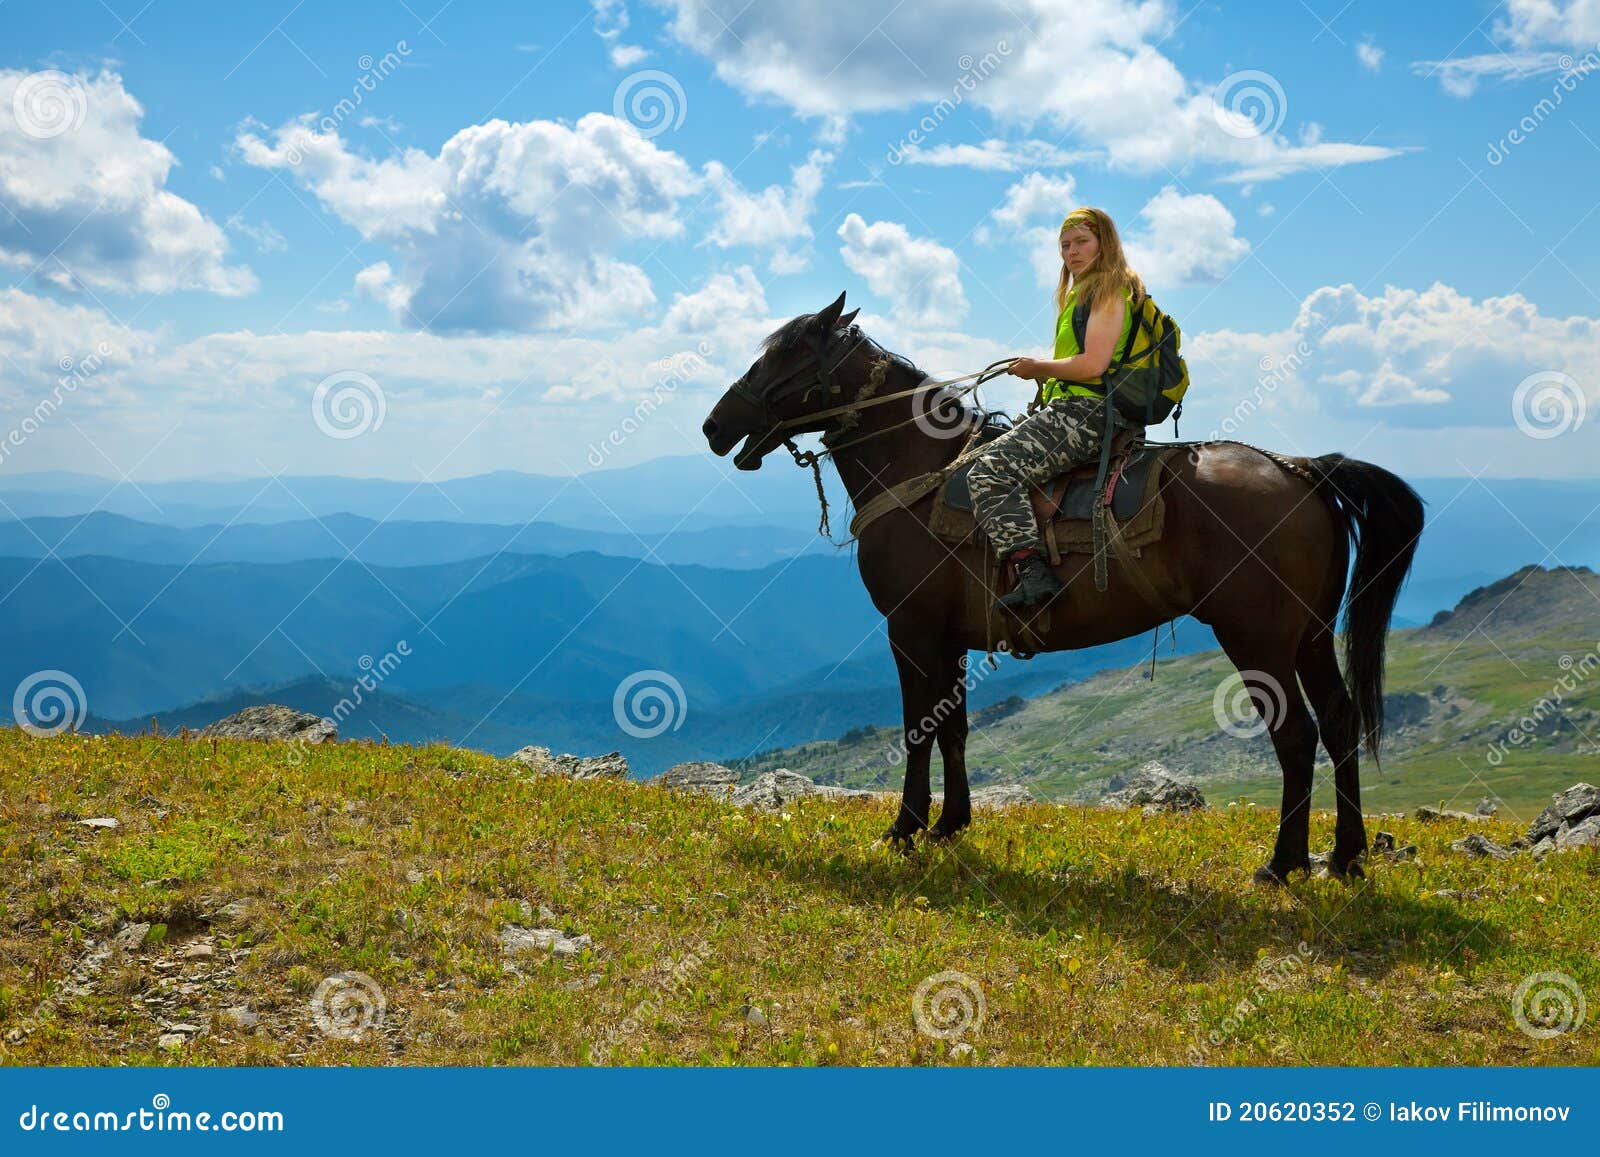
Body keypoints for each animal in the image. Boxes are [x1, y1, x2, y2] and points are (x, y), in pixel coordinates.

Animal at [702, 292, 1424, 883]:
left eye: (790, 351)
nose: (714, 425)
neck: (918, 470)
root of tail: (1300, 468)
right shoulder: (952, 639)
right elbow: (954, 729)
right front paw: (950, 825)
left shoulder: (910, 631)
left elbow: (916, 730)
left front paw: (904, 829)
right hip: (1310, 635)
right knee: (1340, 721)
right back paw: (1346, 855)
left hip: (1258, 641)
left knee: (1297, 736)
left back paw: (1283, 863)